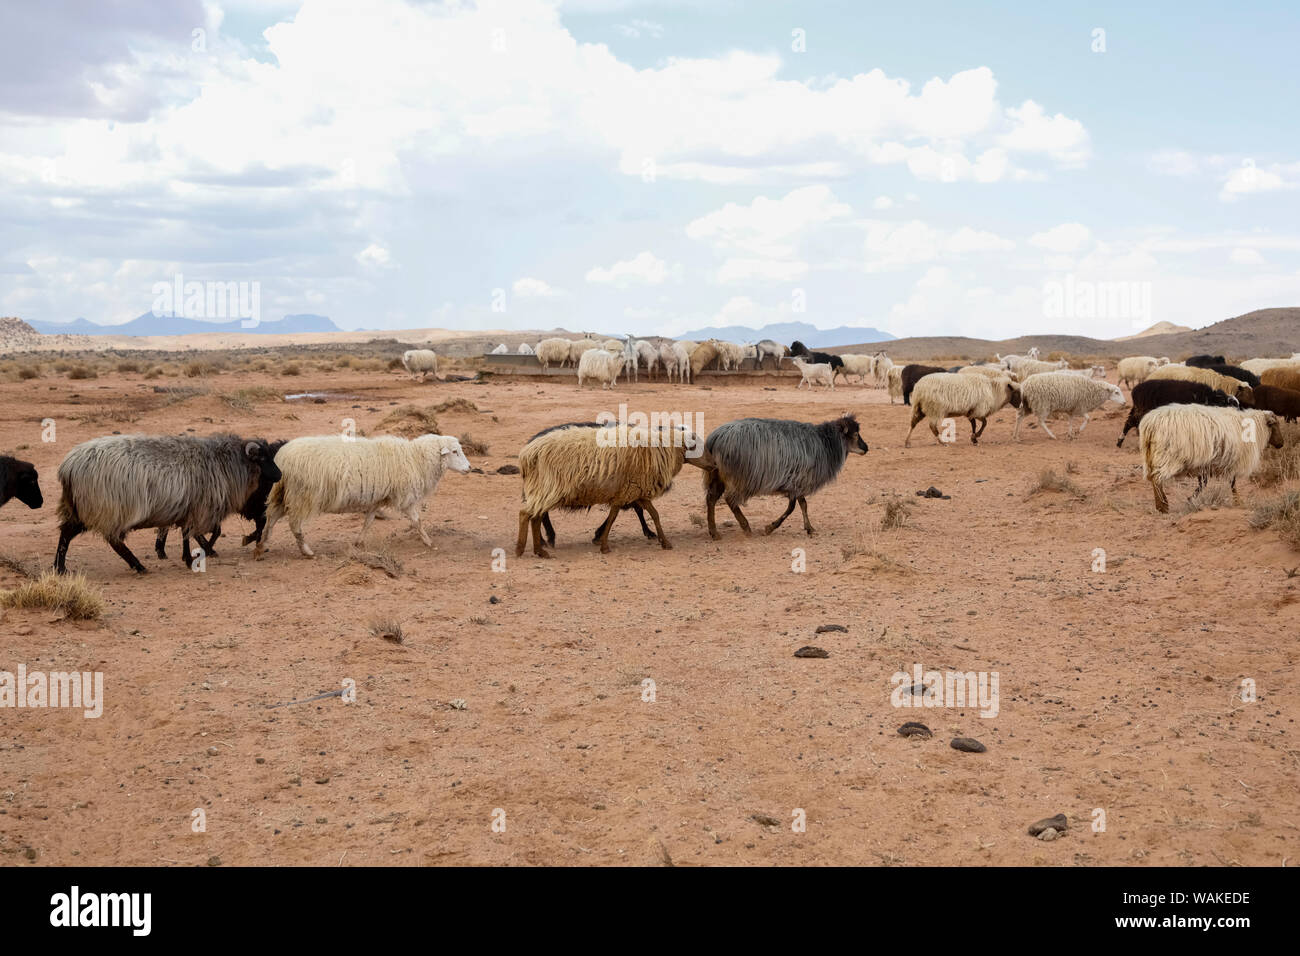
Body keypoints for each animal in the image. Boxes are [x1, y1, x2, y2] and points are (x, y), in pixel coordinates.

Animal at [255, 434, 470, 559]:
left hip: (282, 493)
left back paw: (261, 546)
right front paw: (429, 542)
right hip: (301, 495)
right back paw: (306, 551)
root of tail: (282, 456)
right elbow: (417, 521)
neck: (415, 458)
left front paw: (358, 542)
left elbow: (368, 521)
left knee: (271, 518)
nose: (469, 468)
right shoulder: (405, 497)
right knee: (294, 525)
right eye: (454, 451)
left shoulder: (377, 499)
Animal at [515, 423, 696, 557]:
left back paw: (540, 549)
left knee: (535, 516)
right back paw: (524, 548)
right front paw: (603, 544)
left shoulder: (633, 490)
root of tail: (528, 453)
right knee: (528, 514)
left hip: (542, 489)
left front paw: (662, 540)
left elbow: (650, 514)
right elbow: (616, 516)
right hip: (549, 487)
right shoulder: (629, 490)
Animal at [696, 415, 868, 539]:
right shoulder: (795, 482)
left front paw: (810, 528)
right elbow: (791, 508)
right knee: (730, 500)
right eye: (855, 434)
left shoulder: (798, 482)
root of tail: (715, 438)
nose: (866, 448)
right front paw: (769, 528)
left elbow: (803, 505)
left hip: (717, 475)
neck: (826, 444)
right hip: (740, 478)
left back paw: (714, 532)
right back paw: (745, 527)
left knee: (711, 499)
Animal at [1139, 405, 1283, 513]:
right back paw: (1163, 506)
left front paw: (1191, 499)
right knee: (1157, 479)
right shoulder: (1231, 462)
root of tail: (1149, 424)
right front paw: (1238, 501)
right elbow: (1232, 483)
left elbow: (1204, 483)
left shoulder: (1205, 464)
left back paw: (1161, 505)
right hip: (1167, 456)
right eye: (1275, 425)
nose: (1282, 444)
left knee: (1154, 479)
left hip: (1151, 457)